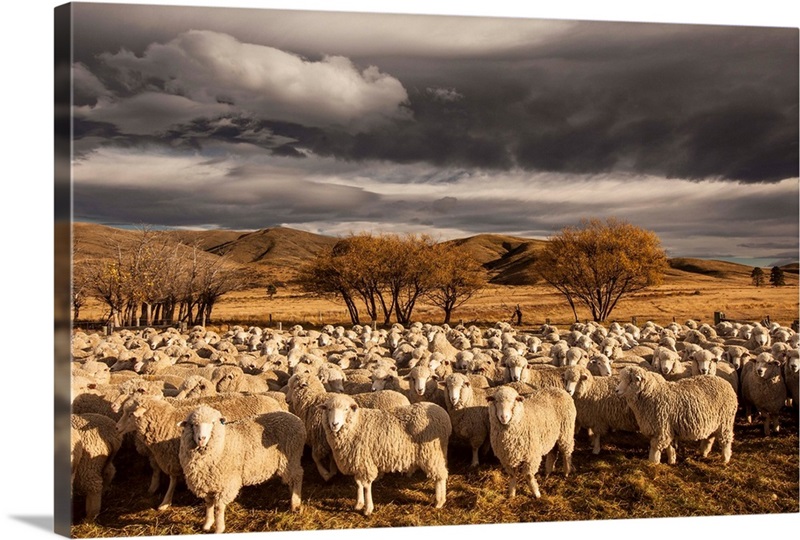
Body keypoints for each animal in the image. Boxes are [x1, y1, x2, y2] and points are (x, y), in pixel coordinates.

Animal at [178, 405, 305, 533]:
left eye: (213, 423)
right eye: (193, 424)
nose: (201, 438)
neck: (222, 444)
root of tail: (296, 418)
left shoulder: (226, 484)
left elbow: (219, 507)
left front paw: (219, 528)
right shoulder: (207, 483)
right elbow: (208, 504)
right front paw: (207, 524)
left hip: (291, 456)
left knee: (298, 476)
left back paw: (295, 503)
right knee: (293, 478)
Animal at [318, 393, 452, 516]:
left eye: (346, 409)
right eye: (328, 409)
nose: (334, 424)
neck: (356, 424)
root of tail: (444, 415)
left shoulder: (365, 461)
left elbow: (366, 485)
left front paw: (368, 509)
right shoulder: (358, 462)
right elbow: (358, 483)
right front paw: (358, 504)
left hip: (431, 452)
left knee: (440, 477)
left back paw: (439, 501)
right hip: (439, 452)